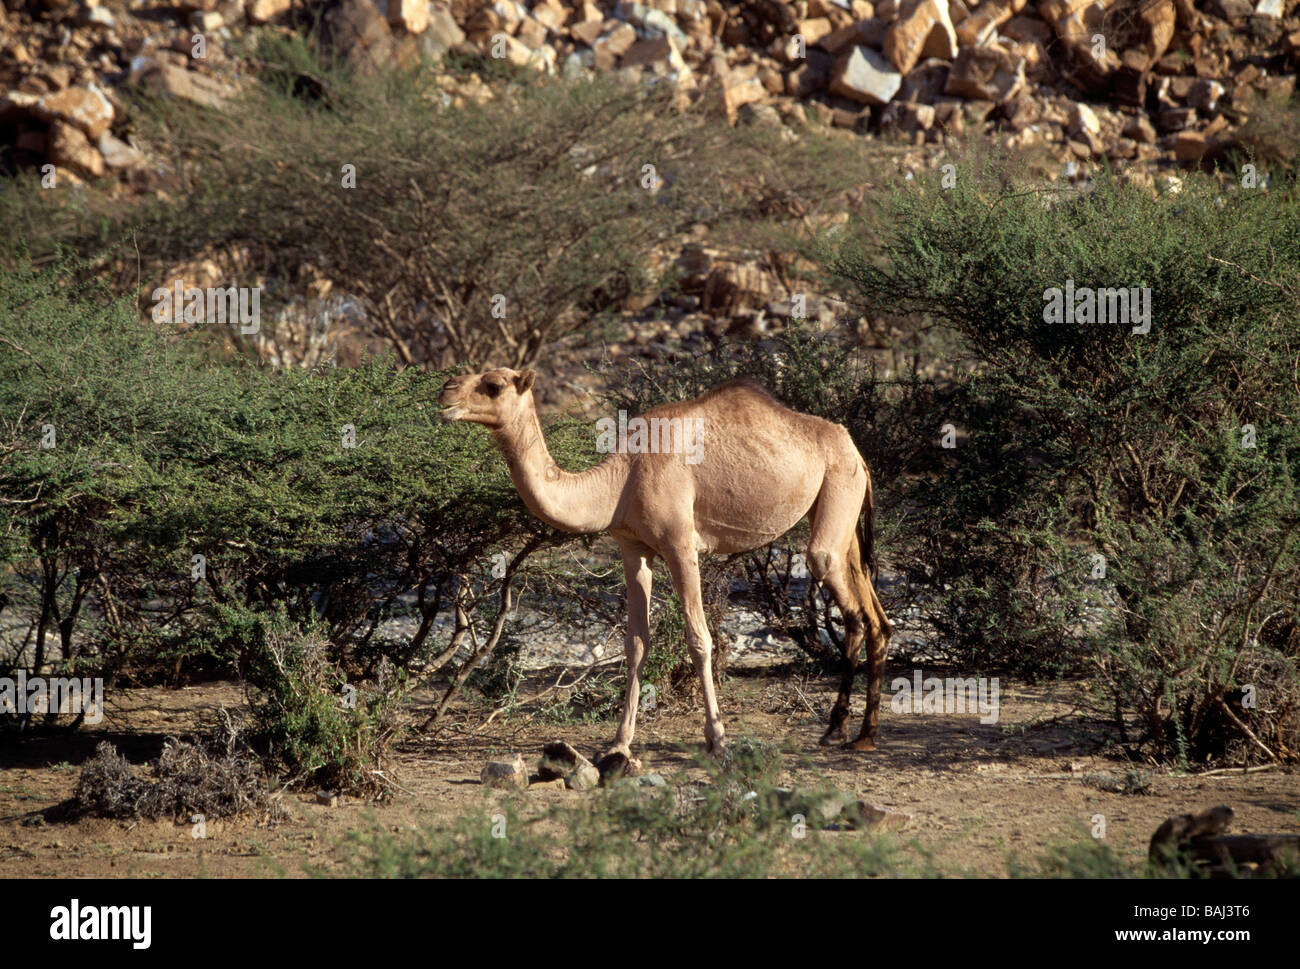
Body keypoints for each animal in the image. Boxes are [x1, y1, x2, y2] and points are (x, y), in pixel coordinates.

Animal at [439, 367, 891, 772]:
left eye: (494, 385)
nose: (446, 392)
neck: (621, 480)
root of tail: (854, 447)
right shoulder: (632, 547)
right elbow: (636, 643)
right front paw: (619, 746)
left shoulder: (680, 544)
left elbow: (699, 639)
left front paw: (718, 741)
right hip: (842, 511)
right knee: (872, 613)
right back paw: (851, 732)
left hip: (837, 490)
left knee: (844, 595)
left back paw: (855, 733)